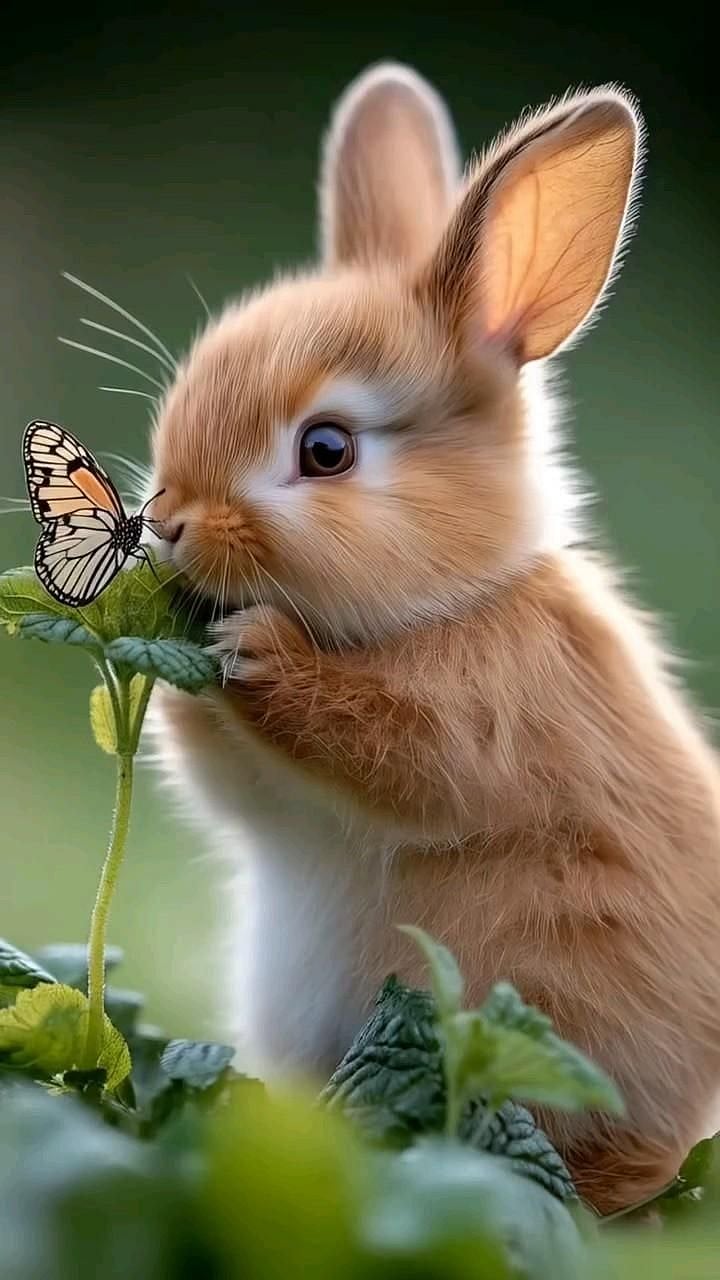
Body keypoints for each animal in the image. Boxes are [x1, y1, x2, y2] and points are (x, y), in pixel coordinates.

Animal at [144, 62, 720, 1214]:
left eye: (327, 449)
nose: (168, 521)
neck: (458, 594)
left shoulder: (487, 711)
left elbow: (398, 748)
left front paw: (257, 654)